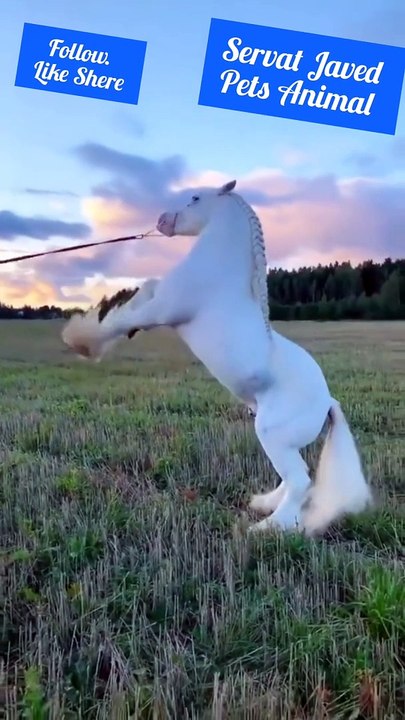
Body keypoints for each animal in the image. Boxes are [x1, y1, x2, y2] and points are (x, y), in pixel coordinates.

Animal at [61, 179, 372, 535]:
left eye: (195, 197)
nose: (162, 220)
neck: (219, 272)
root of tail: (327, 402)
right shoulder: (159, 301)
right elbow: (142, 294)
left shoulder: (162, 311)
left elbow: (119, 320)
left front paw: (81, 341)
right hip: (286, 443)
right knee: (294, 478)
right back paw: (264, 505)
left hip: (273, 435)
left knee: (300, 481)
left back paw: (267, 528)